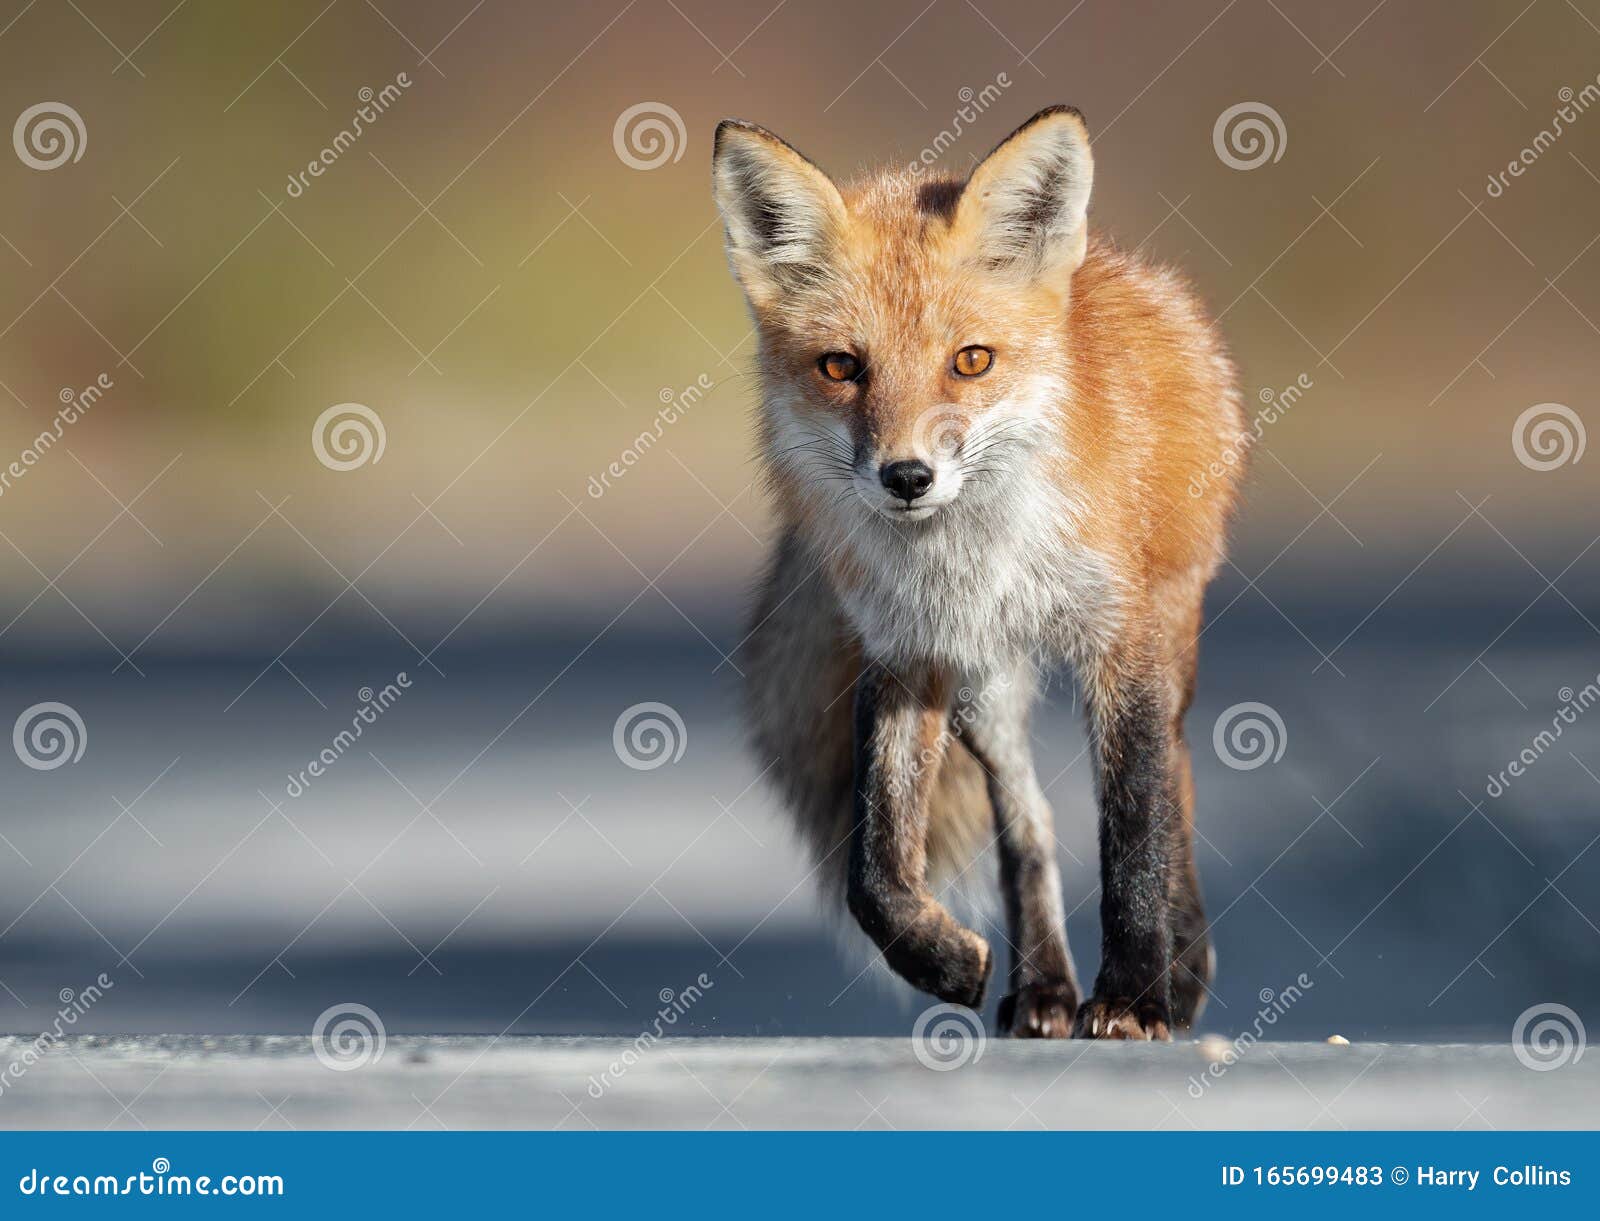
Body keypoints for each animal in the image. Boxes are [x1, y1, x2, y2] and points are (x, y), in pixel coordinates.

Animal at [712, 106, 1245, 1040]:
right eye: (841, 366)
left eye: (970, 360)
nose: (906, 476)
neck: (982, 558)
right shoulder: (909, 652)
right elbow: (875, 867)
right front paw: (941, 959)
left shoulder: (1123, 641)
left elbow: (1134, 828)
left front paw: (1137, 993)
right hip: (987, 692)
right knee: (1028, 820)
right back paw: (1045, 988)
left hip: (1168, 628)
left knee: (1172, 778)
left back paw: (1179, 968)